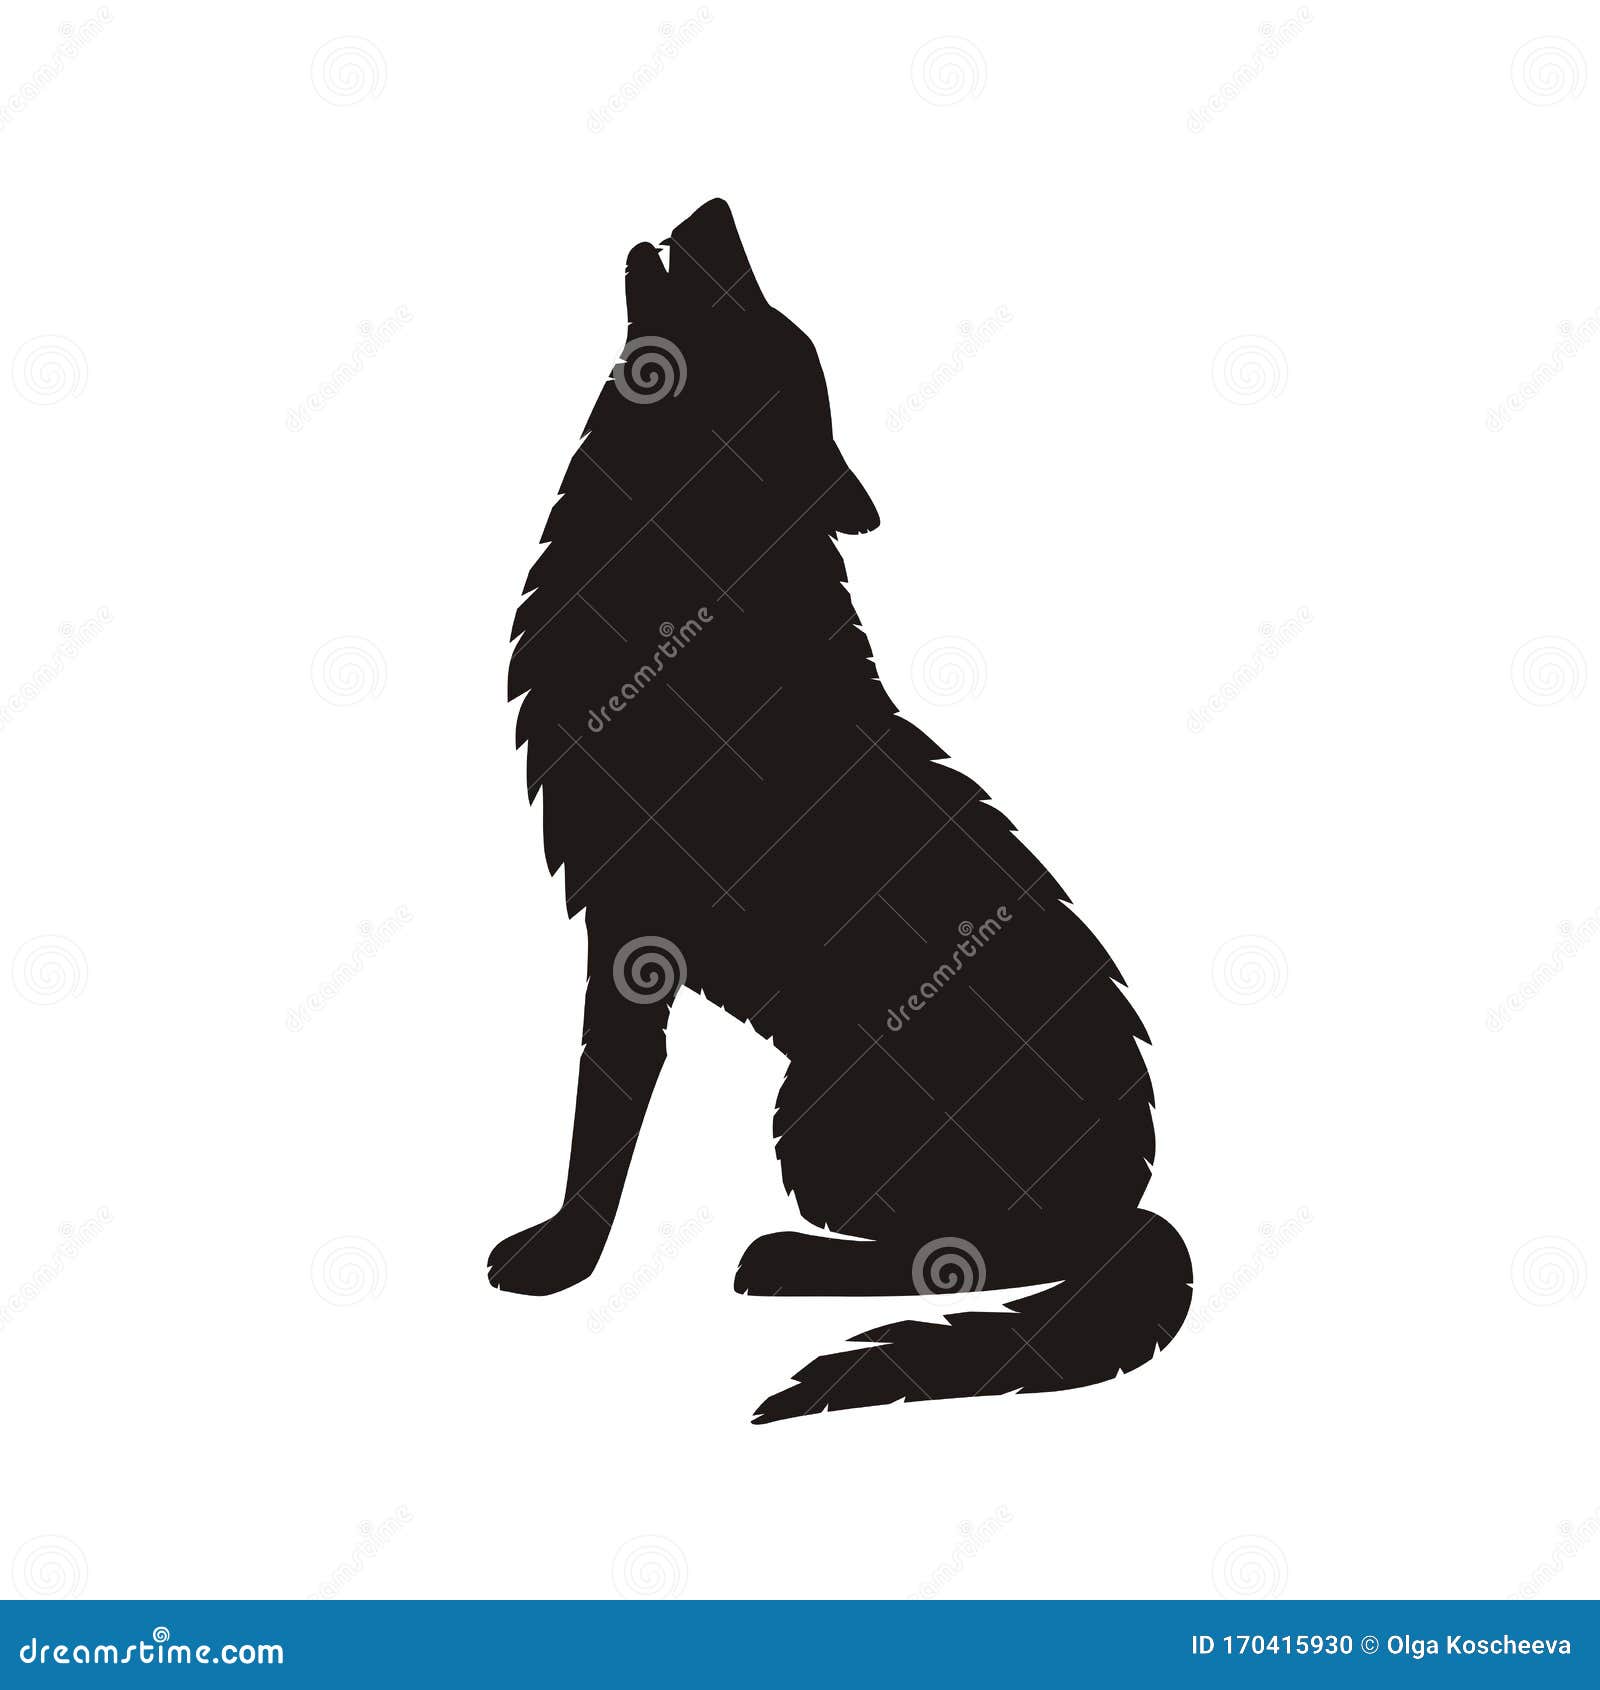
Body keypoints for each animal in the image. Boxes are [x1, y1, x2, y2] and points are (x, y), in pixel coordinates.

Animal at [491, 199, 1192, 1421]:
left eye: (759, 329)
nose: (710, 212)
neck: (681, 583)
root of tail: (1124, 1201)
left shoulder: (628, 930)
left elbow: (598, 1119)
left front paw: (561, 1261)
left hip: (816, 1111)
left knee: (965, 1254)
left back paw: (783, 1259)